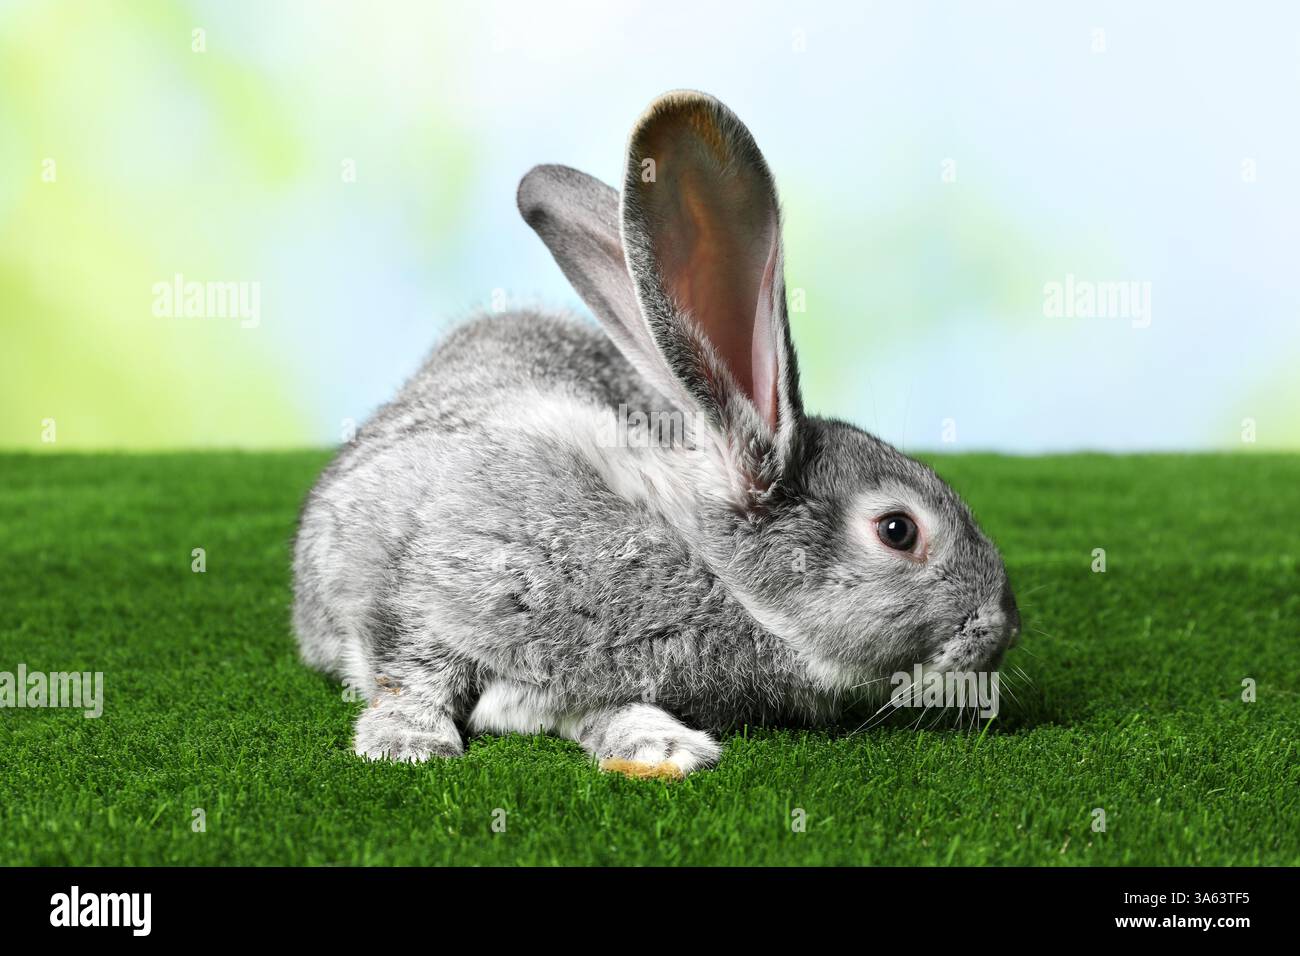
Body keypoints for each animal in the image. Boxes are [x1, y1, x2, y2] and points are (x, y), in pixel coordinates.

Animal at [292, 90, 1020, 778]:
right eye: (898, 530)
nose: (1004, 624)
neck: (714, 574)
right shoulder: (425, 580)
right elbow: (410, 667)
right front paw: (407, 744)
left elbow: (605, 710)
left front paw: (661, 749)